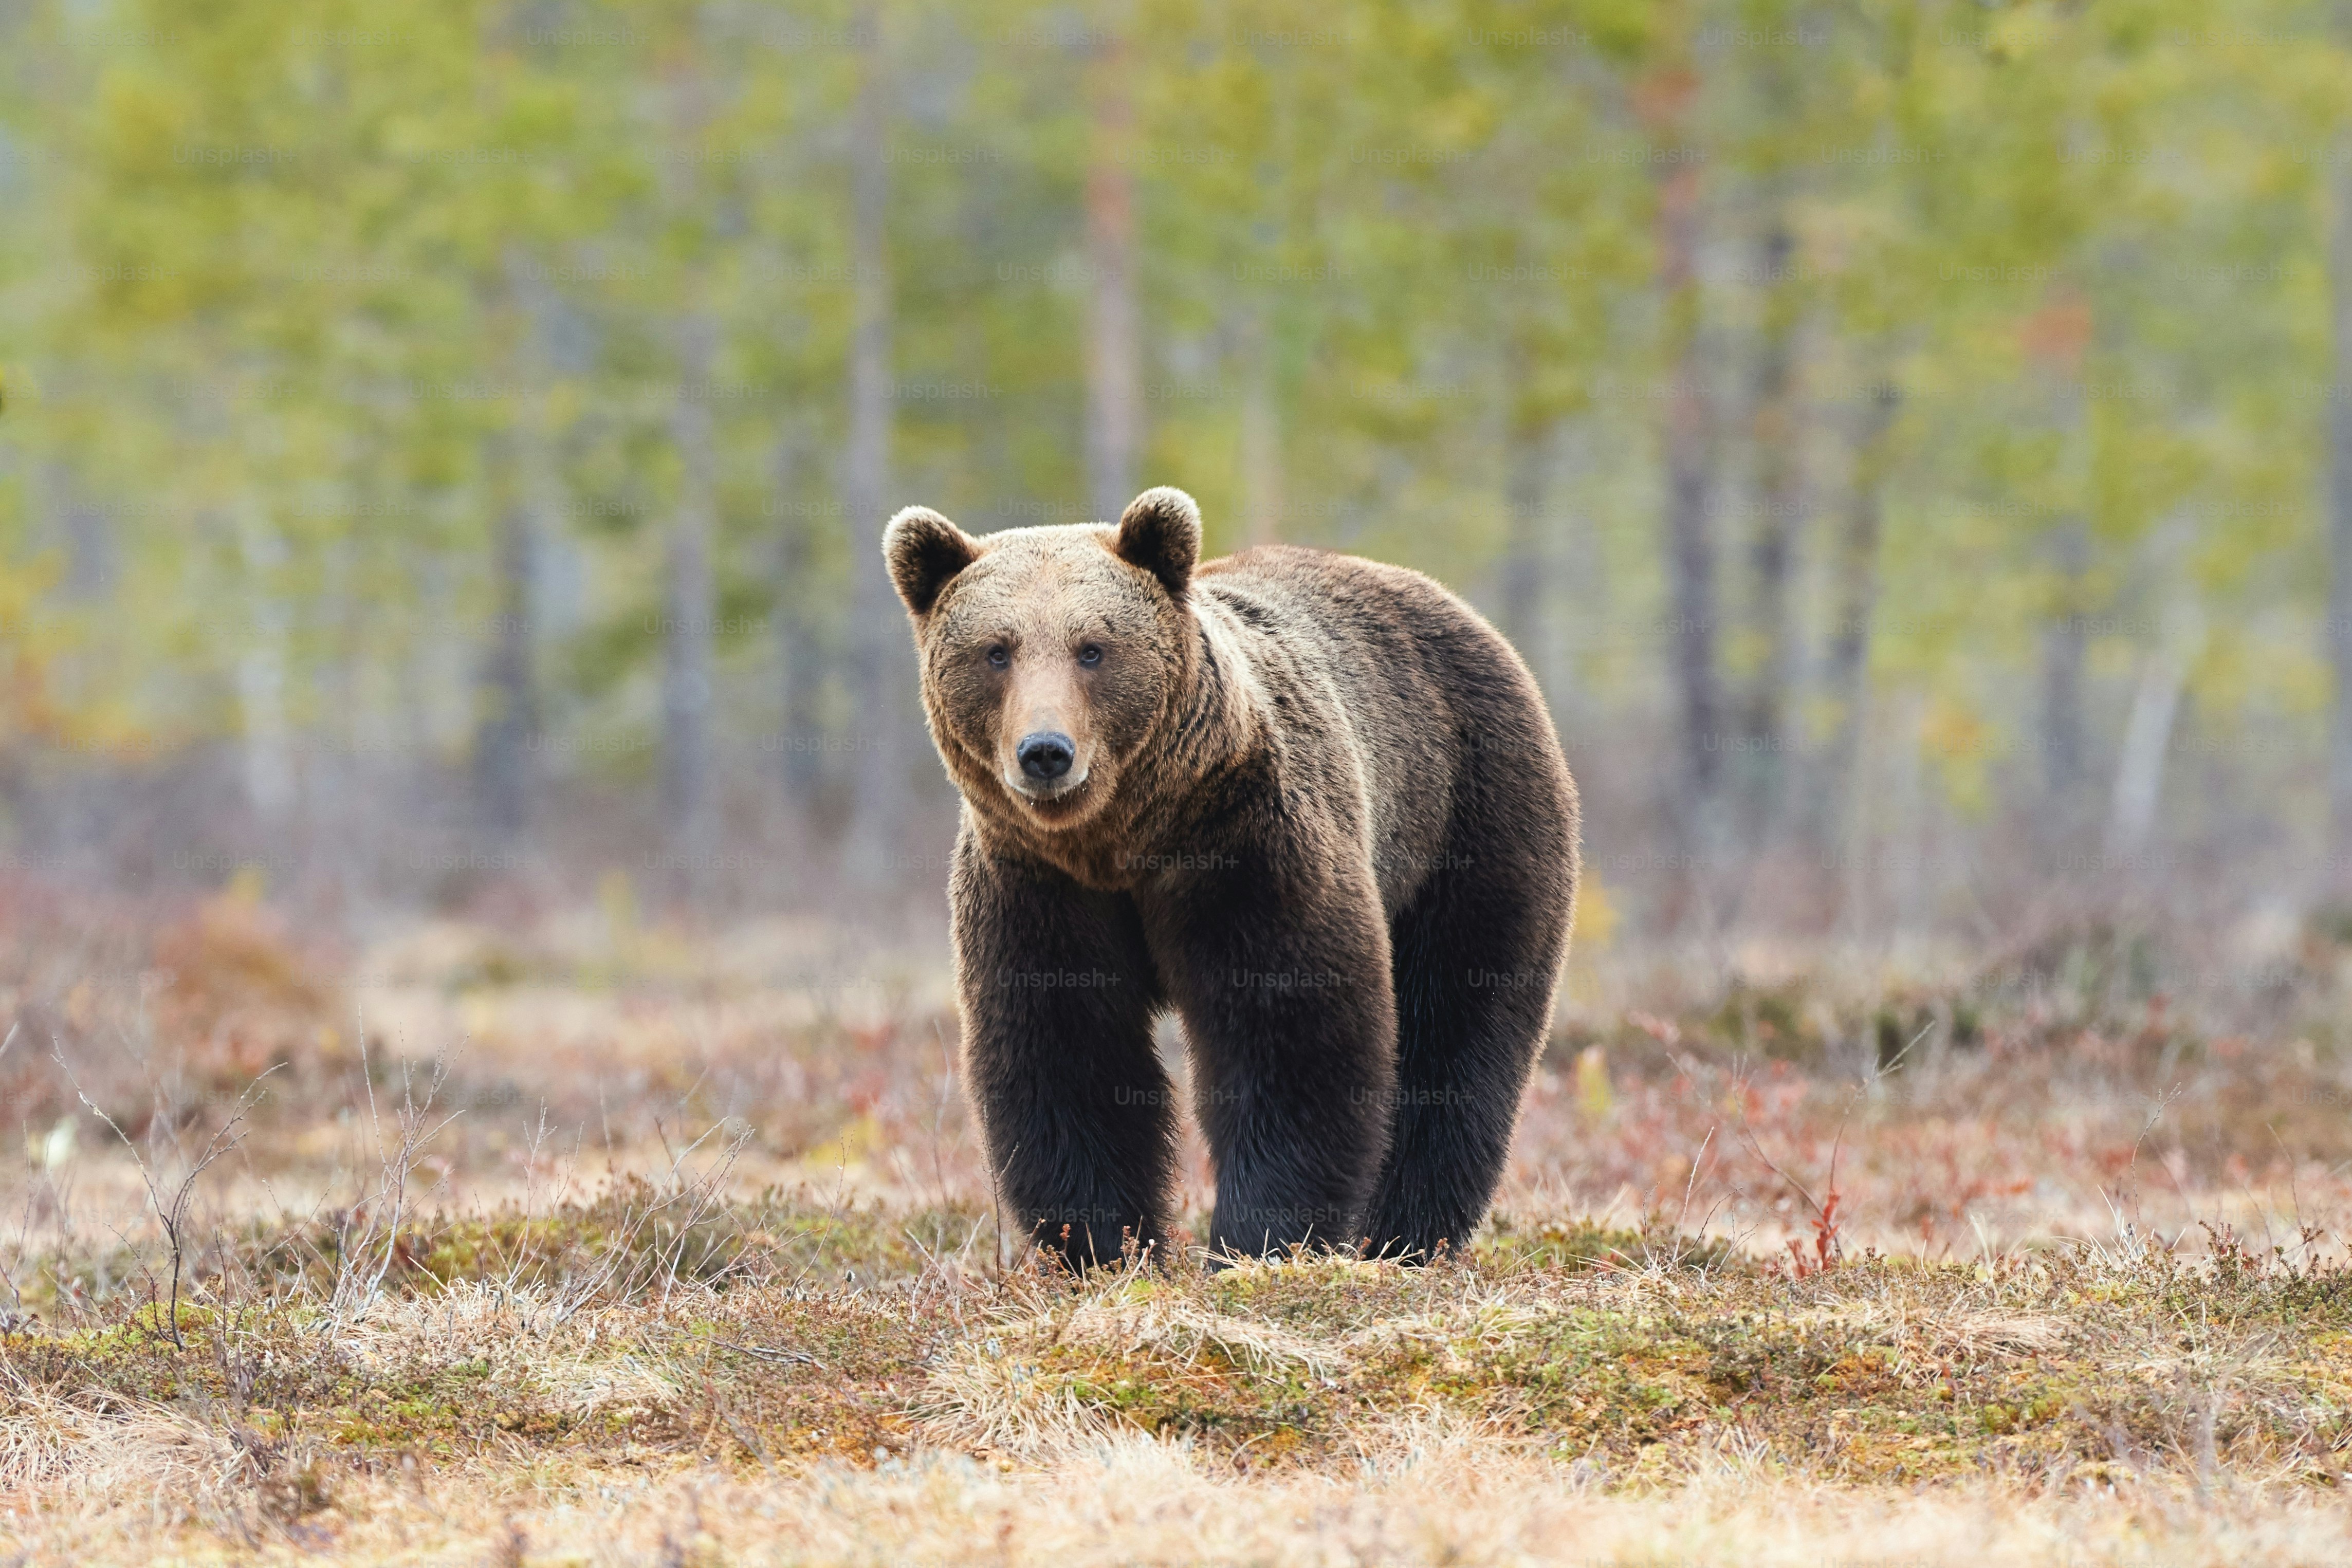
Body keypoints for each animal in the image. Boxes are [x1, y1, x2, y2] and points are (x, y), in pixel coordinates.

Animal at [882, 486, 1577, 1265]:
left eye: (1093, 648)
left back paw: (1406, 1235)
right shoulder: (1038, 884)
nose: (1045, 752)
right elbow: (1065, 1051)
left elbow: (1287, 1034)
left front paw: (1259, 1239)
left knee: (1458, 1025)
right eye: (996, 651)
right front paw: (1104, 1244)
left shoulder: (1248, 844)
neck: (1124, 839)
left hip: (1469, 814)